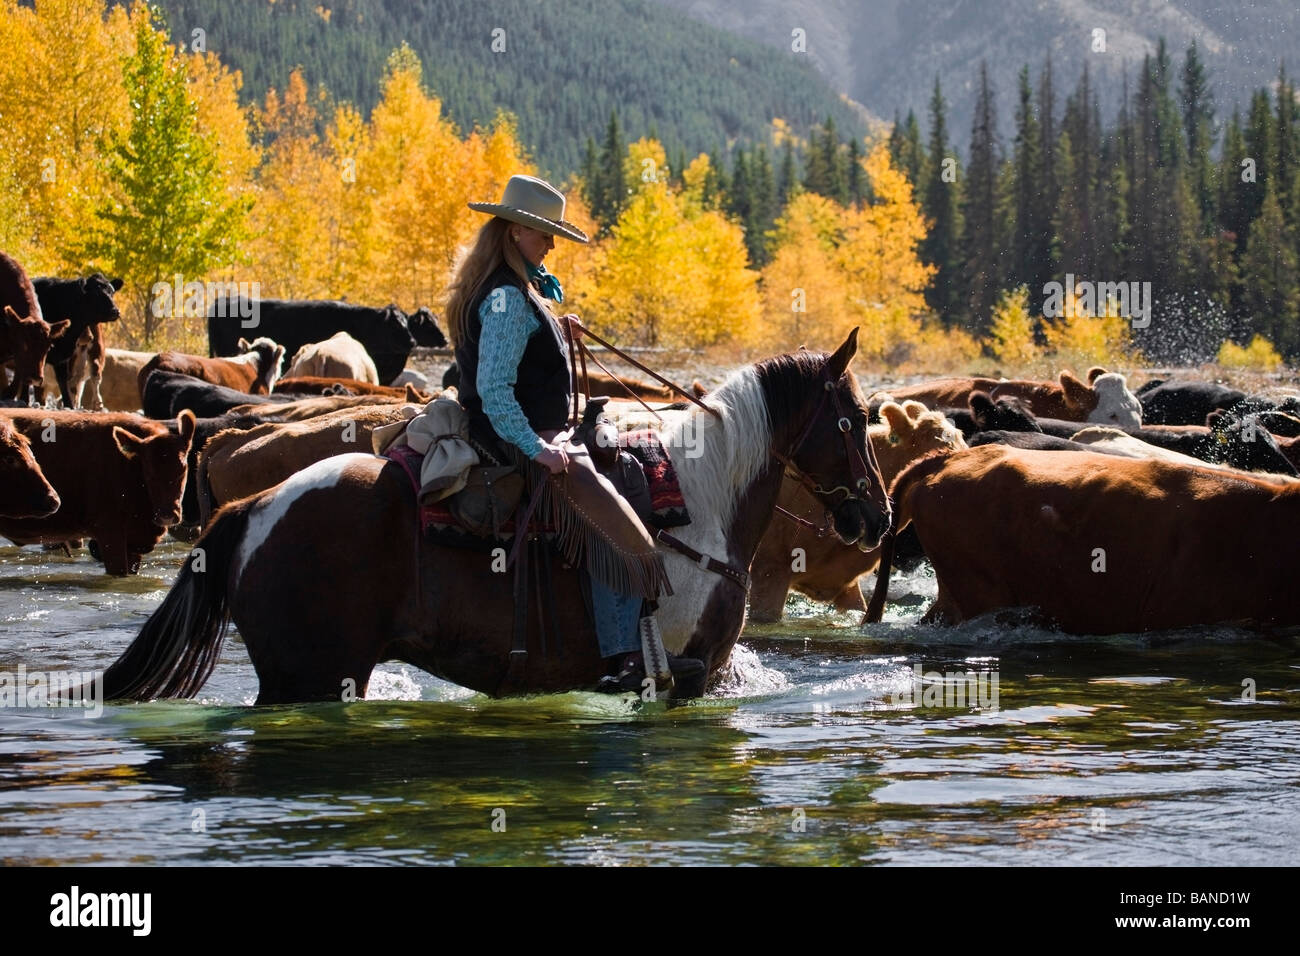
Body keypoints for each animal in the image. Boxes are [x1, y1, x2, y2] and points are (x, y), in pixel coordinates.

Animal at [31, 273, 122, 408]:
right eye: (96, 294)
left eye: (112, 292)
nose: (115, 311)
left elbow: (64, 381)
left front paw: (68, 405)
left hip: (96, 352)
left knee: (92, 377)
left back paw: (96, 404)